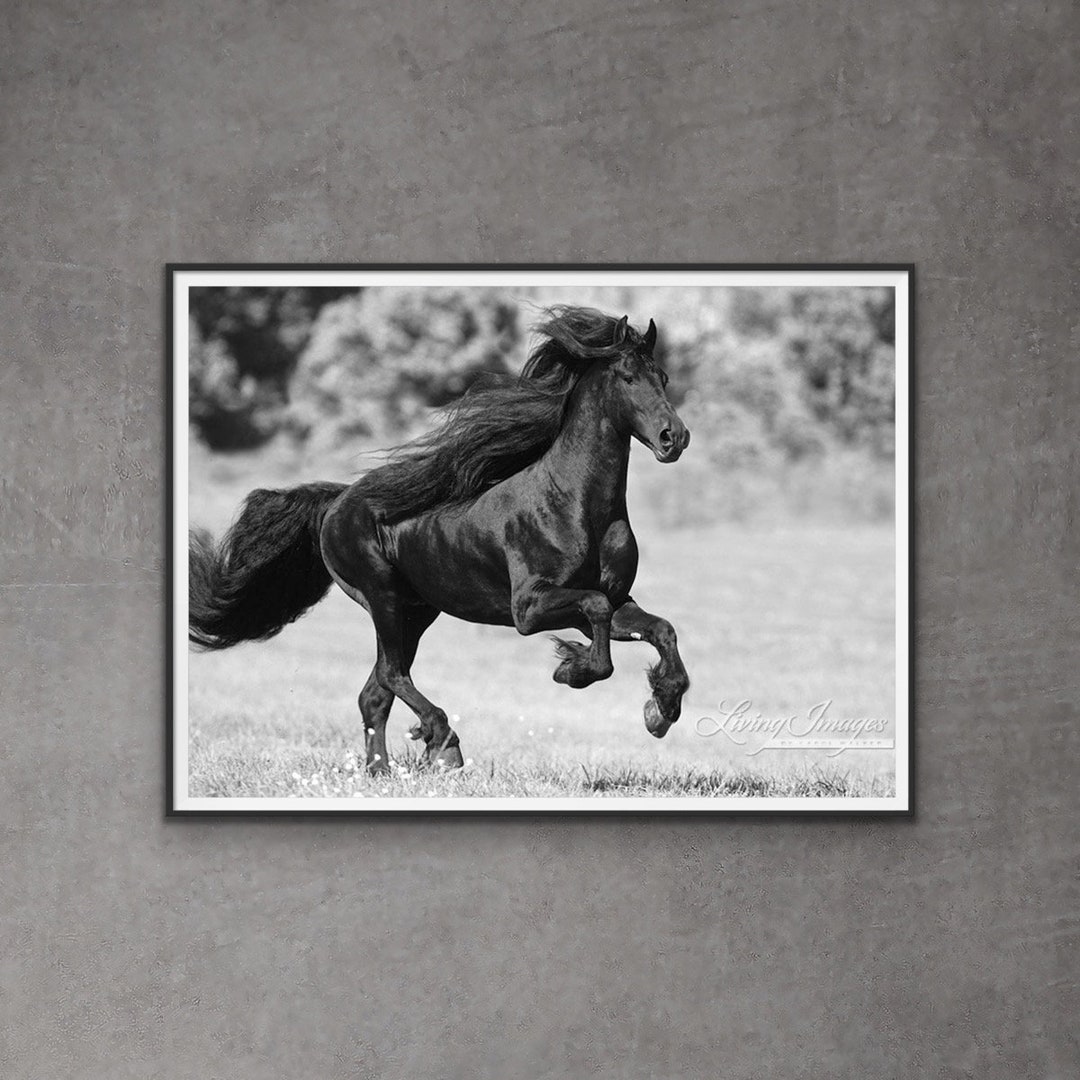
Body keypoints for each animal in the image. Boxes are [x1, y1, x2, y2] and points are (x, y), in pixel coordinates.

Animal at [189, 306, 691, 774]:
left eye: (663, 377)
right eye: (628, 376)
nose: (675, 438)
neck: (575, 504)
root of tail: (336, 506)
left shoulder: (616, 598)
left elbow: (659, 627)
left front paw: (661, 708)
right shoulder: (529, 608)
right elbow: (597, 616)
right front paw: (572, 669)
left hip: (415, 613)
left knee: (375, 692)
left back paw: (382, 770)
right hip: (384, 599)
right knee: (391, 675)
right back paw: (443, 743)